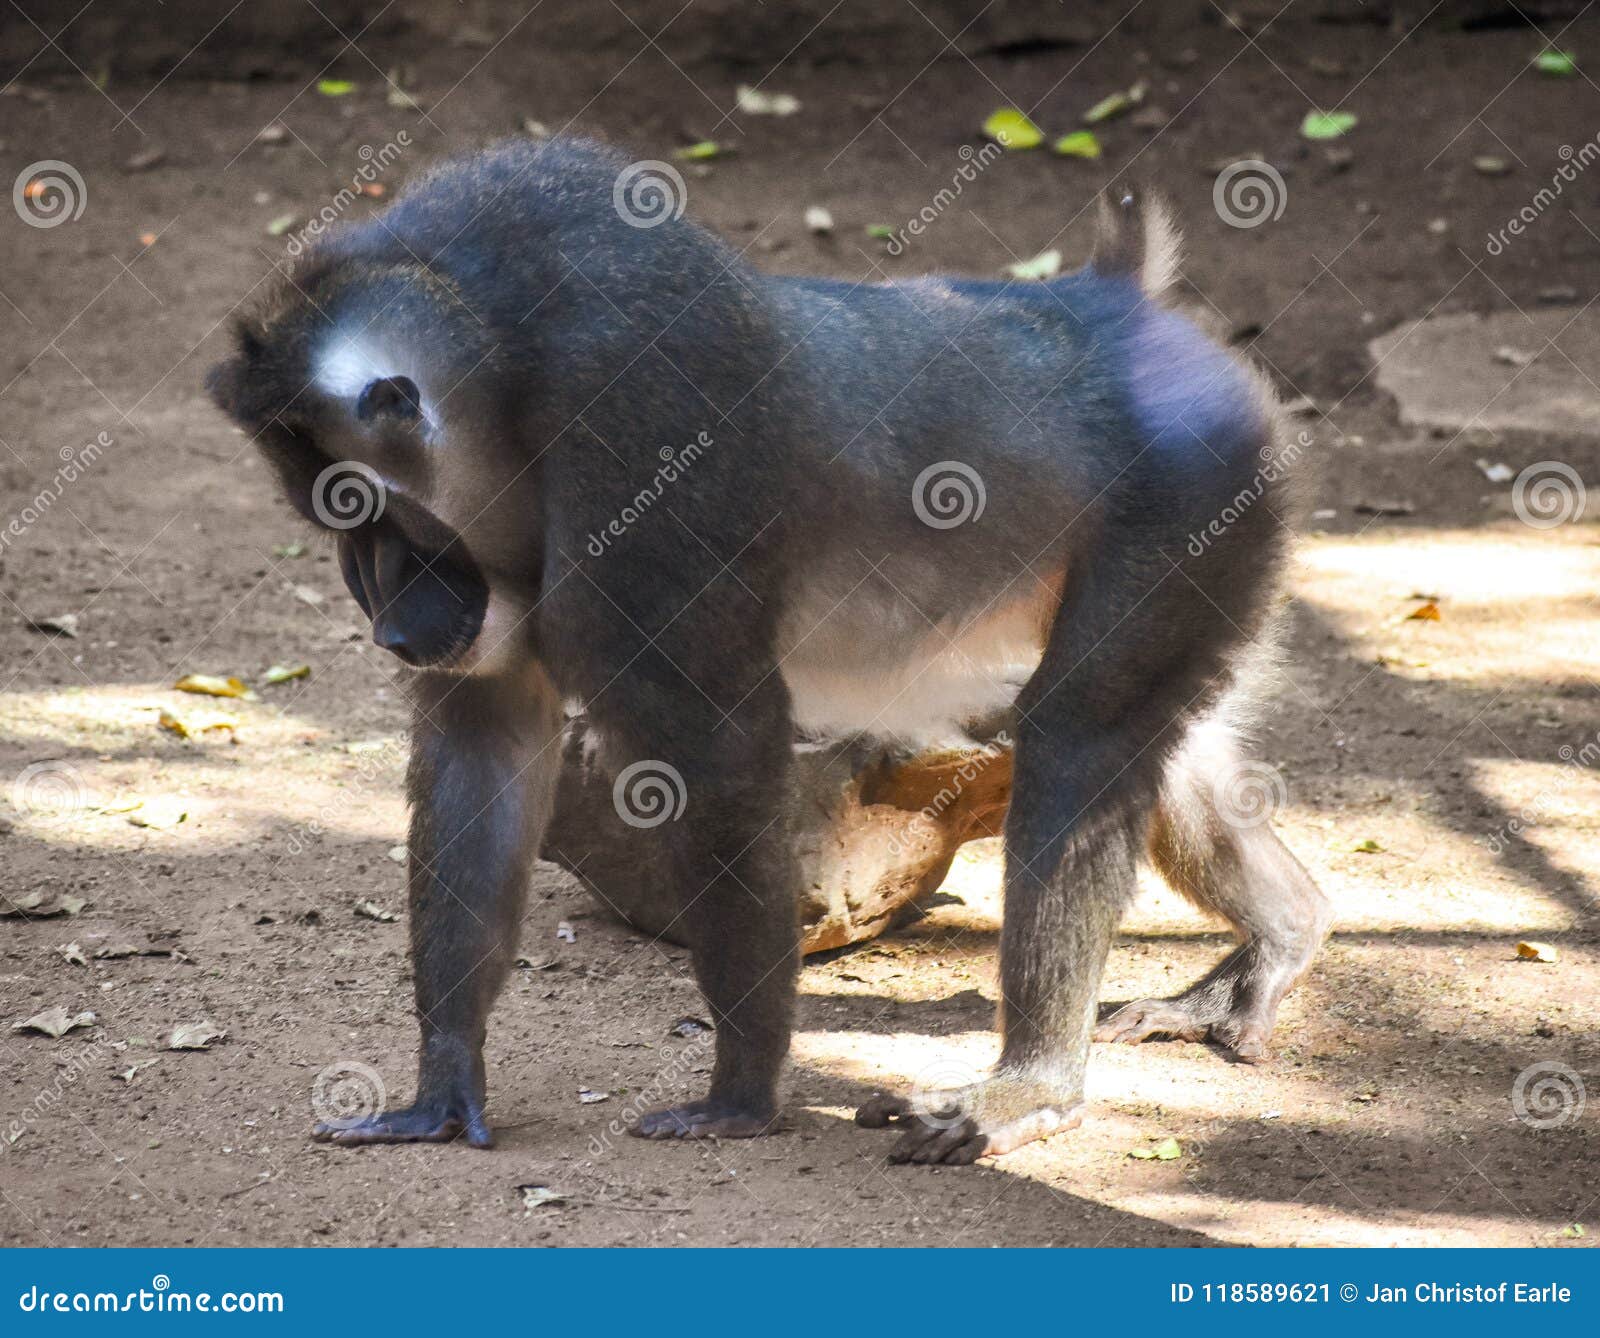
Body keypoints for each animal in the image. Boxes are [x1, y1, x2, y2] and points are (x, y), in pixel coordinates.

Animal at [207, 136, 1329, 1164]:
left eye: (370, 514)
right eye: (340, 529)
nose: (393, 627)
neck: (500, 343)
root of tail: (1120, 309)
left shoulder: (643, 441)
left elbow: (719, 751)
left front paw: (742, 1090)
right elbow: (481, 747)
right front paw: (442, 1085)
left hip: (1198, 492)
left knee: (1078, 735)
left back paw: (1033, 1085)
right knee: (1153, 745)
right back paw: (1284, 936)